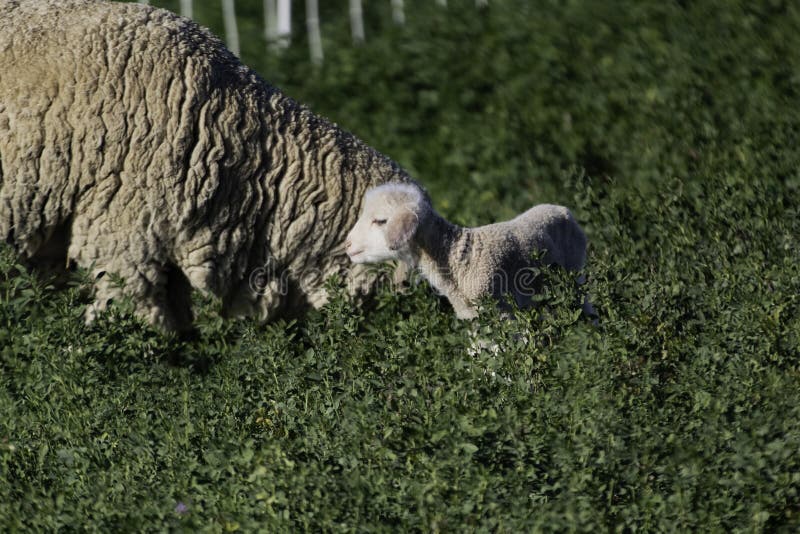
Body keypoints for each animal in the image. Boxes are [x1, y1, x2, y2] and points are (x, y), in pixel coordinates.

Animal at [345, 182, 592, 319]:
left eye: (380, 221)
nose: (347, 244)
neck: (455, 256)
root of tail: (562, 209)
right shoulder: (473, 318)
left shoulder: (500, 311)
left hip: (575, 278)